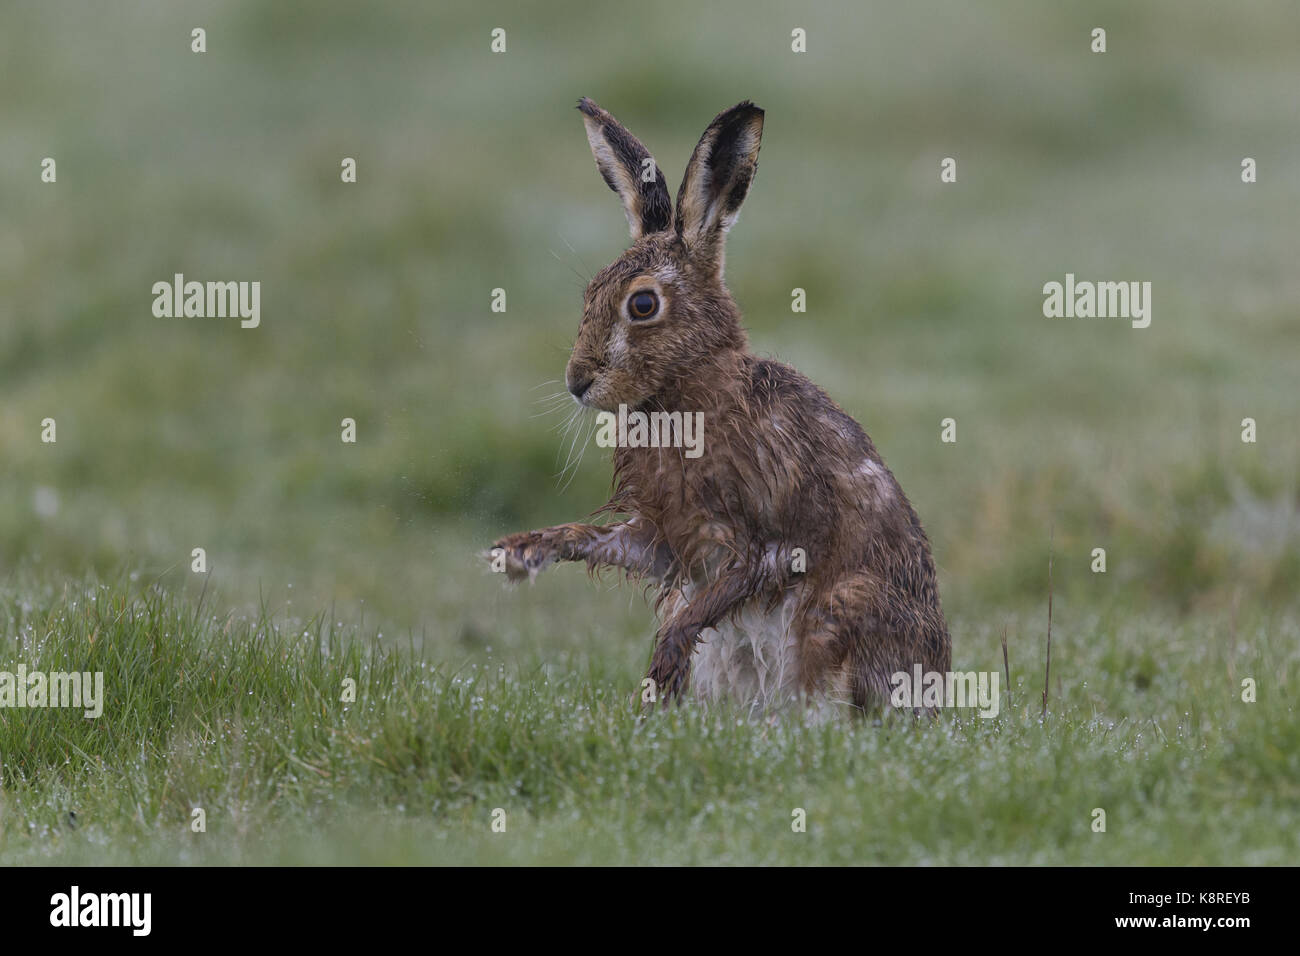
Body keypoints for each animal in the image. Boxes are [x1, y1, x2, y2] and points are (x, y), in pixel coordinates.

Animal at [490, 97, 950, 715]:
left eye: (642, 305)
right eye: (589, 293)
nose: (577, 382)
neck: (686, 389)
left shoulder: (766, 540)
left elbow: (712, 600)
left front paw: (664, 665)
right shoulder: (665, 535)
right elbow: (601, 540)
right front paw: (521, 552)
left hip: (843, 611)